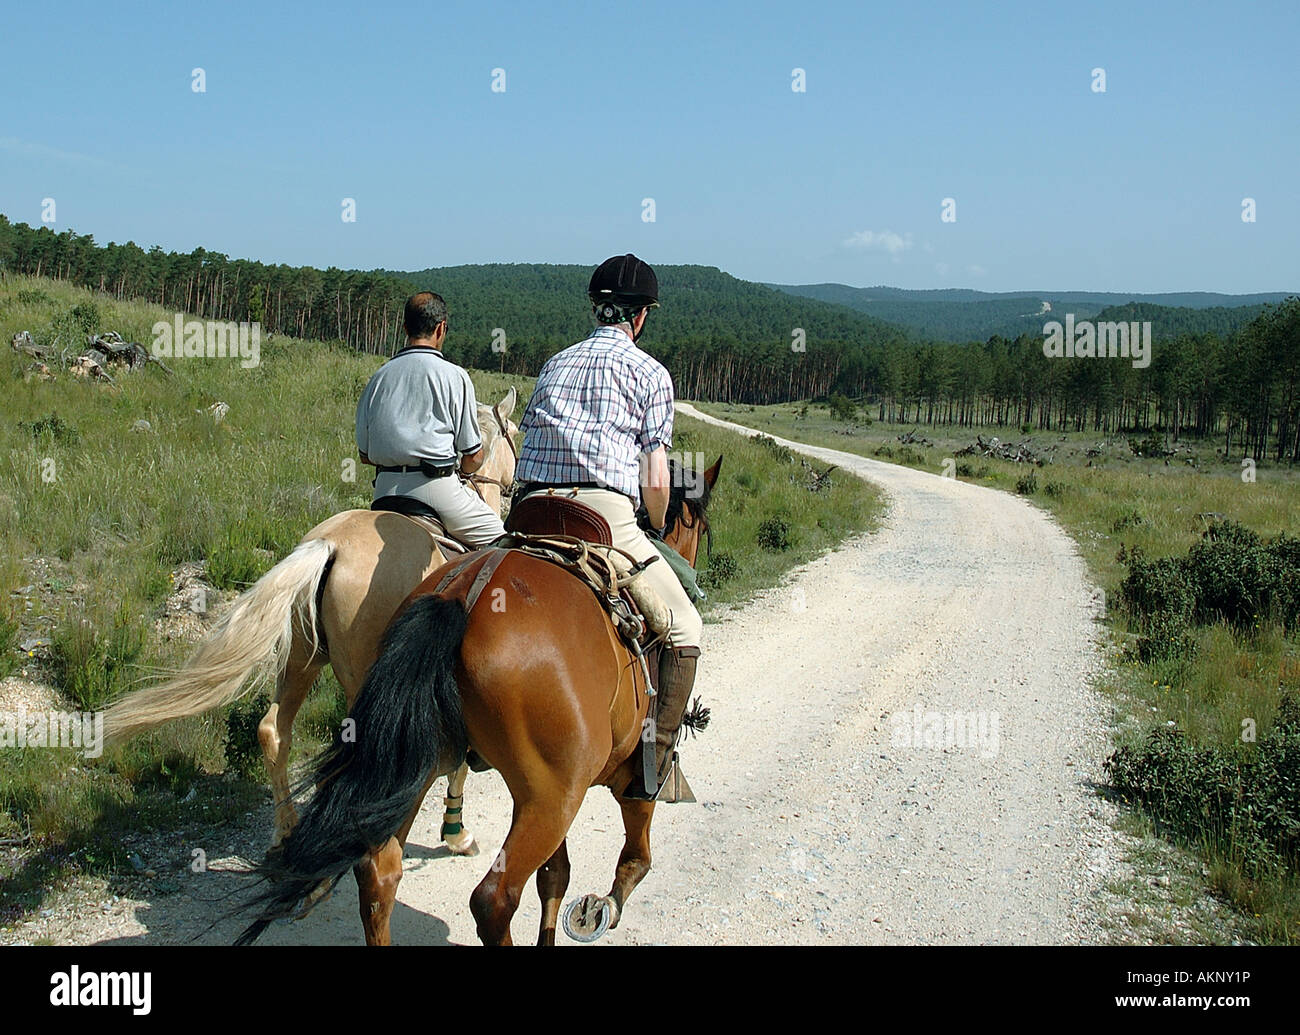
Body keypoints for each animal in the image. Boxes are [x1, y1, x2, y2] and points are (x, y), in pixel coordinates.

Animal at [103, 386, 521, 856]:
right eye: (516, 433)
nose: (514, 485)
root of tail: (328, 546)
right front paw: (457, 833)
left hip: (301, 660)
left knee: (273, 731)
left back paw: (286, 831)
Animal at [235, 455, 721, 946]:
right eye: (702, 528)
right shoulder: (620, 775)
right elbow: (633, 852)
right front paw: (599, 905)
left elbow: (555, 874)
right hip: (548, 797)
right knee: (492, 899)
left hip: (344, 692)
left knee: (355, 836)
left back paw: (291, 846)